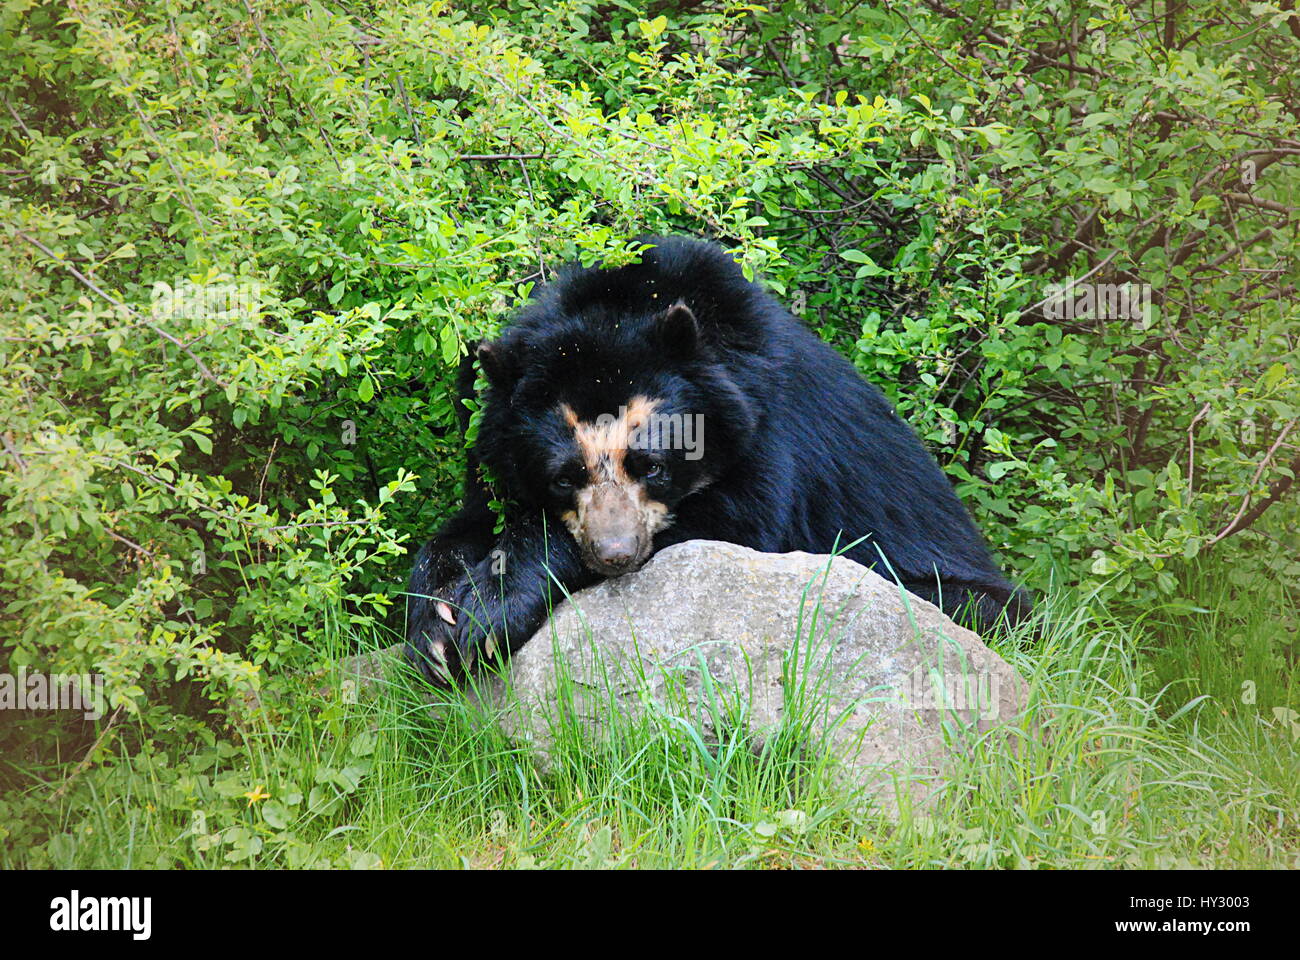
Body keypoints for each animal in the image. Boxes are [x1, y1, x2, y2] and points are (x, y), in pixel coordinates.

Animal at [405, 236, 1030, 683]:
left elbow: (733, 528)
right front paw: (435, 623)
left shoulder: (768, 432)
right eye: (564, 478)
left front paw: (482, 618)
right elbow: (468, 523)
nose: (615, 554)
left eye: (652, 465)